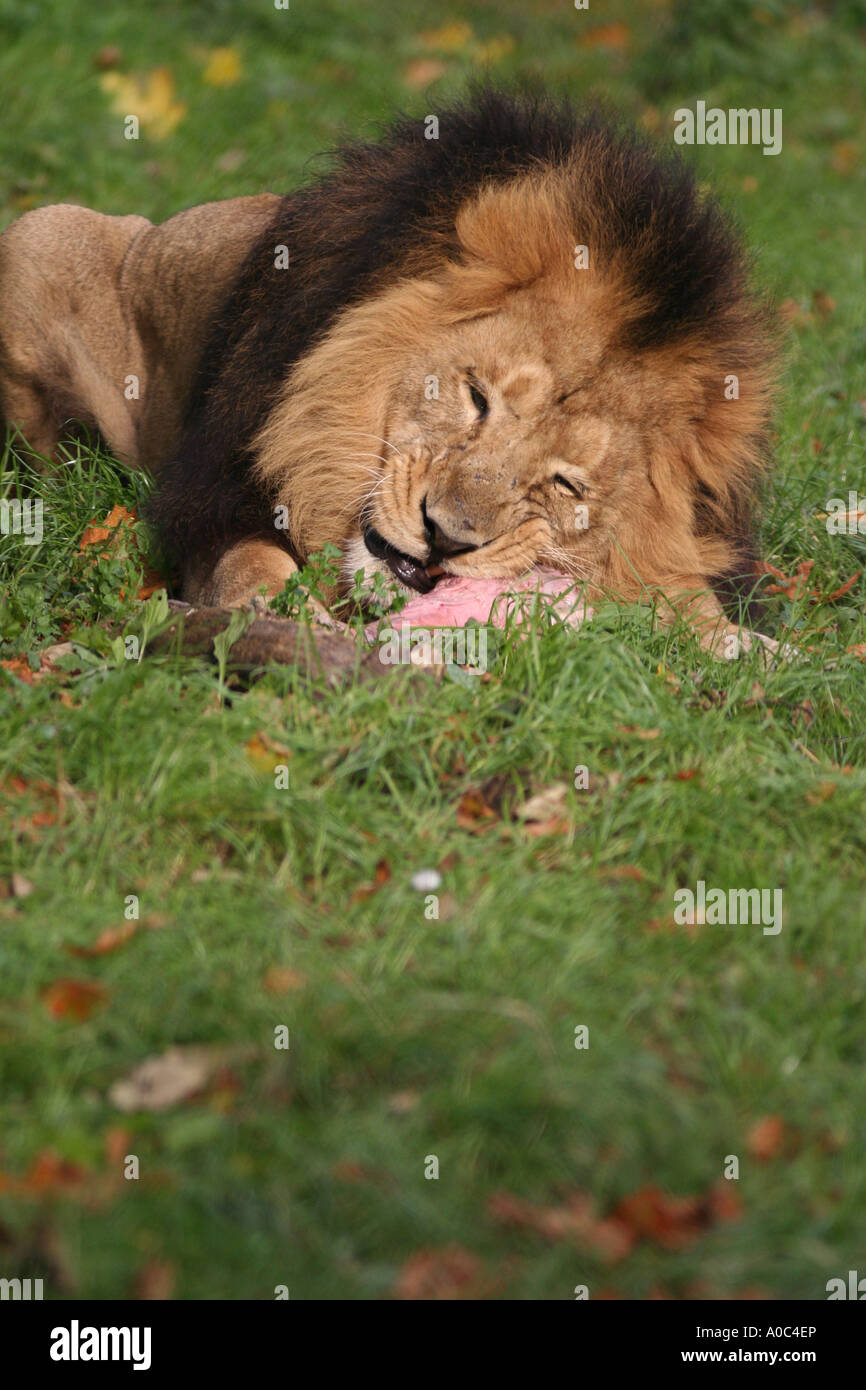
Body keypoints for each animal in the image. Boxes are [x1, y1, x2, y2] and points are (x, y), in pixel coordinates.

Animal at [0, 88, 778, 652]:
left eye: (564, 484)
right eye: (477, 398)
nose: (446, 538)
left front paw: (753, 652)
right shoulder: (213, 500)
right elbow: (250, 565)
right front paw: (286, 622)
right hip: (39, 233)